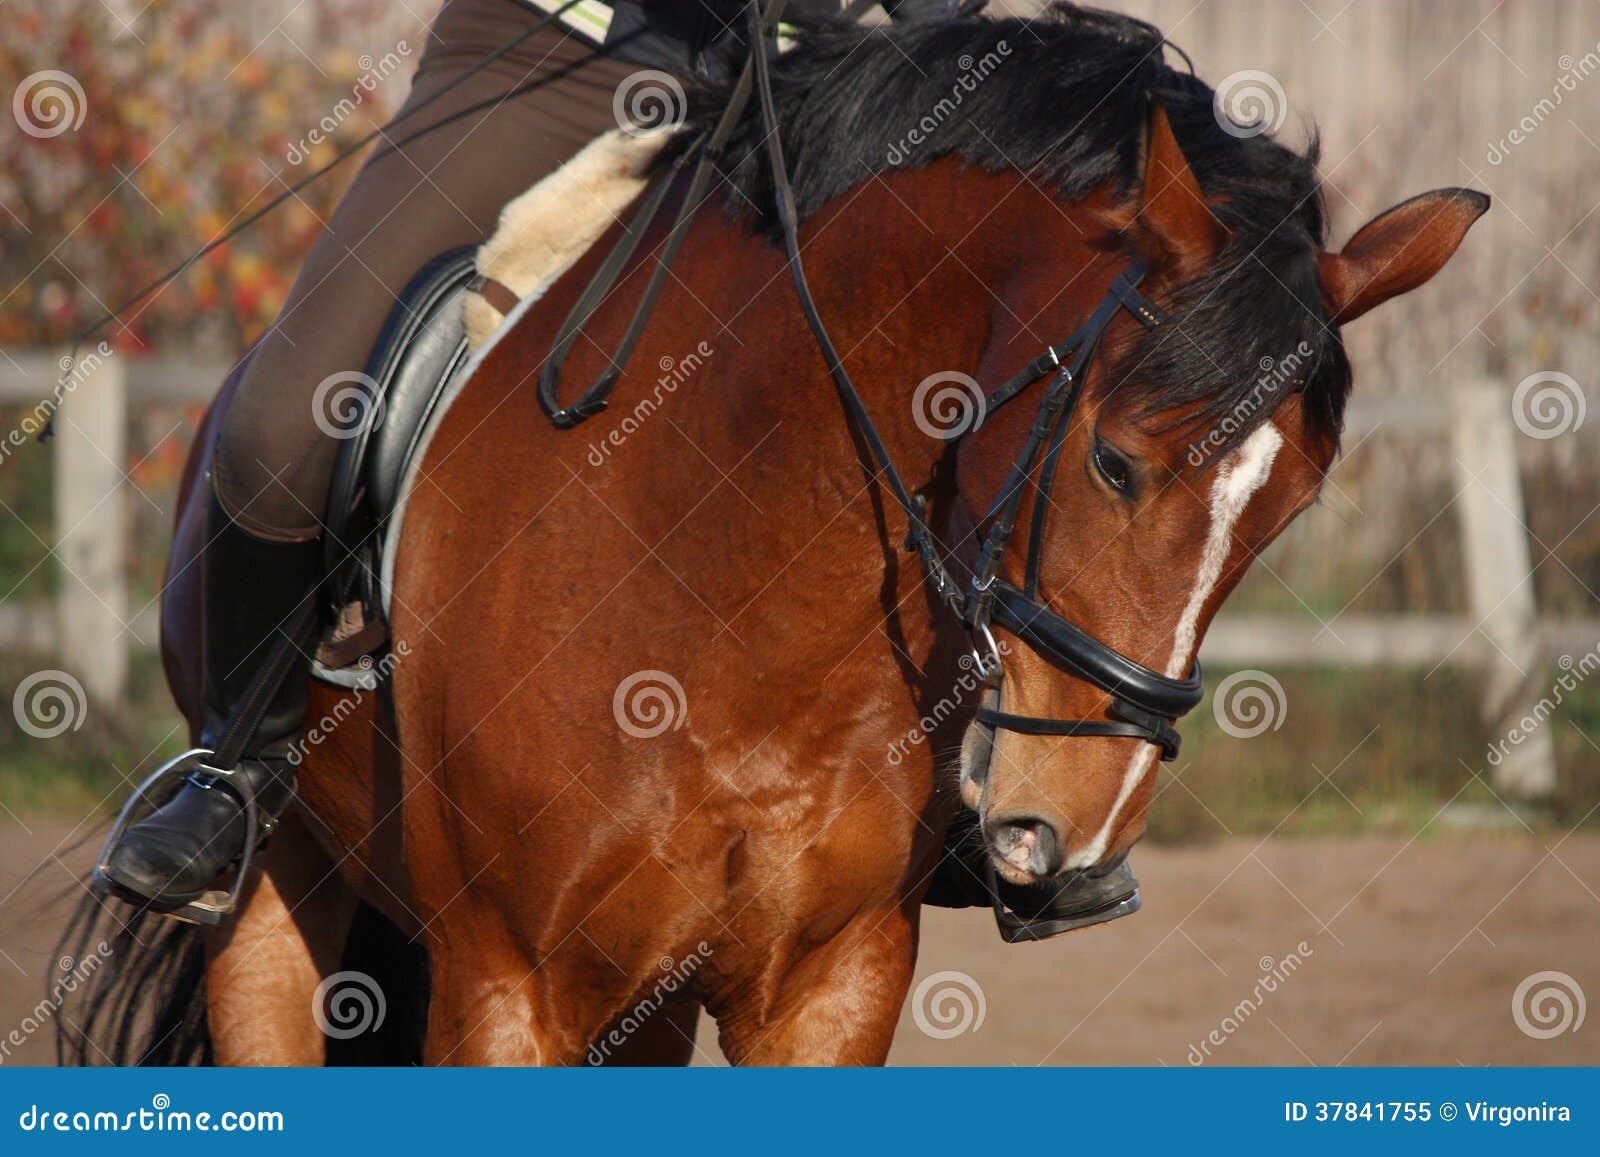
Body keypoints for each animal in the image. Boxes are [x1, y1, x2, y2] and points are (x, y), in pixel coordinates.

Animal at [60, 6, 1484, 1065]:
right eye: (1113, 461)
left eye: (1287, 508)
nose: (1063, 841)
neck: (735, 584)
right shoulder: (508, 983)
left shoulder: (829, 982)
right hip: (277, 895)